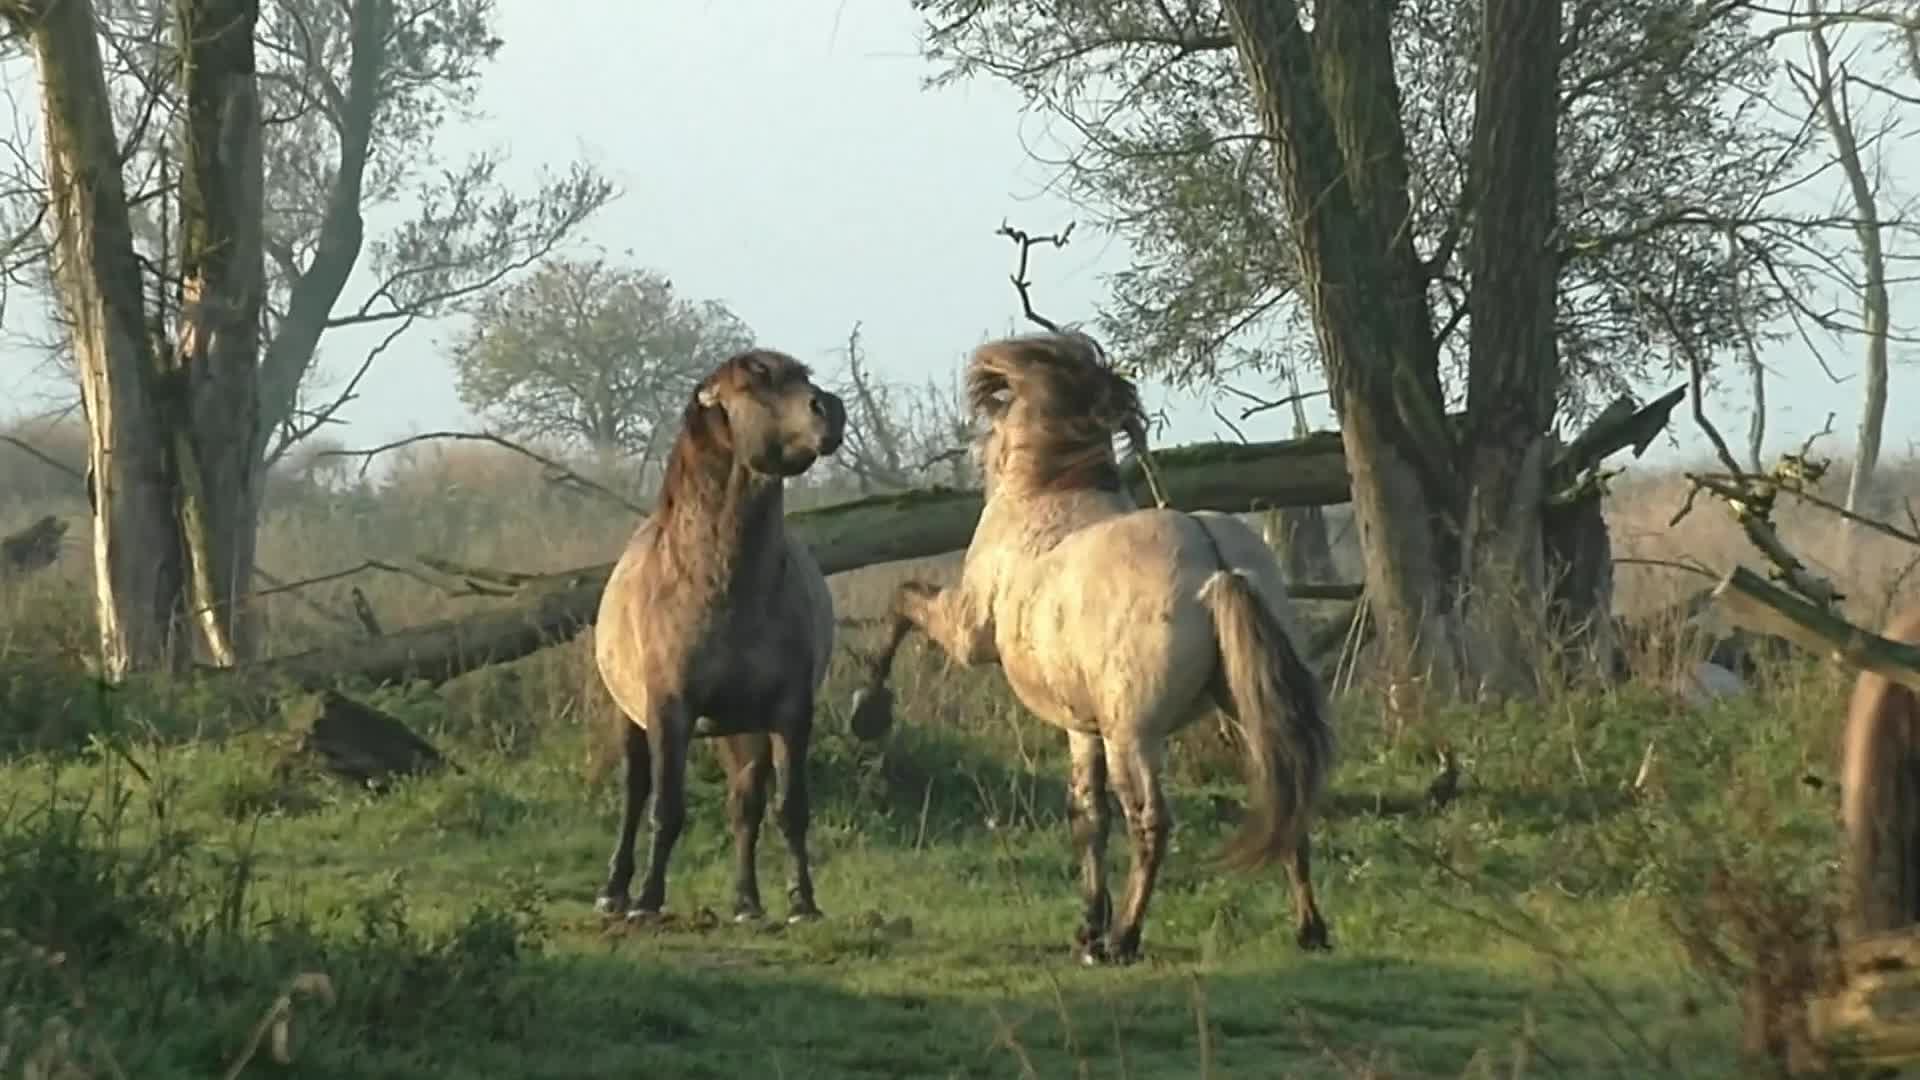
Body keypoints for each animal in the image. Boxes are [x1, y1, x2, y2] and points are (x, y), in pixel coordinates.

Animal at [592, 348, 846, 923]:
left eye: (801, 376)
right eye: (753, 385)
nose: (831, 409)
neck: (723, 584)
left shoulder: (790, 712)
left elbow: (789, 809)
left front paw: (803, 902)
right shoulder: (670, 709)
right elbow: (665, 808)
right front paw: (647, 901)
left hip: (741, 728)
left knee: (744, 805)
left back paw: (747, 902)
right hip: (630, 716)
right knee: (635, 792)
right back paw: (615, 892)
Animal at [848, 331, 1335, 963]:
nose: (978, 459)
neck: (1045, 497)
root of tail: (1217, 565)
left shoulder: (967, 633)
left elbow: (903, 602)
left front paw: (868, 708)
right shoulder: (1083, 726)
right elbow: (1087, 815)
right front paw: (1087, 924)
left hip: (1136, 735)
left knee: (1151, 822)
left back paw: (1125, 938)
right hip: (1240, 714)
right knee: (1287, 797)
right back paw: (1308, 928)